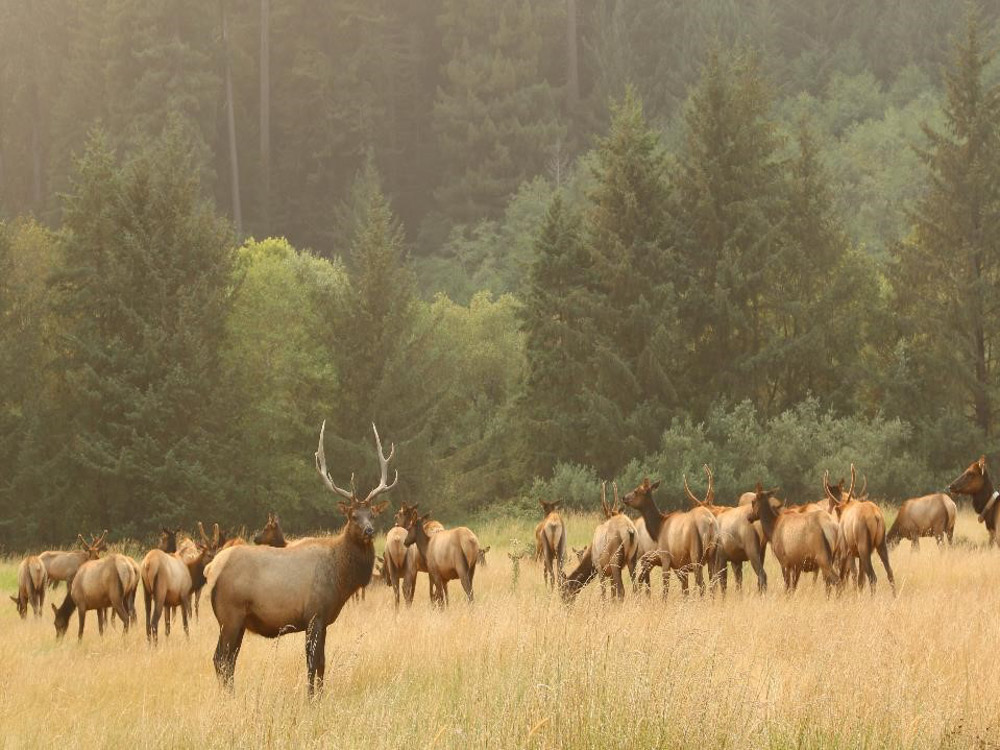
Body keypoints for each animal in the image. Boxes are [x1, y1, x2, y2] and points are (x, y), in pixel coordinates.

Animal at [208, 421, 395, 696]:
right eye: (352, 516)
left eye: (372, 514)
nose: (369, 531)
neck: (341, 579)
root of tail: (212, 572)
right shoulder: (314, 614)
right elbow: (311, 661)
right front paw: (310, 696)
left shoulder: (325, 620)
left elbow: (322, 662)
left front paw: (320, 695)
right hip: (230, 615)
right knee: (221, 658)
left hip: (236, 621)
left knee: (227, 659)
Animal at [826, 465, 894, 594]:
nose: (828, 511)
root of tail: (876, 516)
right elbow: (860, 580)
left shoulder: (846, 549)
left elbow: (846, 575)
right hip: (880, 544)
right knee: (890, 573)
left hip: (863, 546)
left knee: (872, 577)